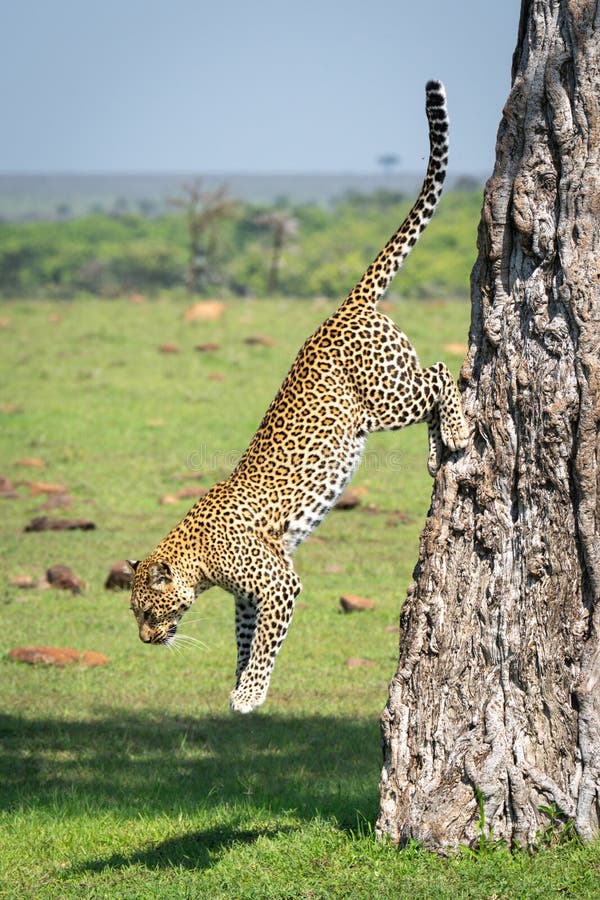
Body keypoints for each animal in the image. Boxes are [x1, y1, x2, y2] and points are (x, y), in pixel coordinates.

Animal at [128, 80, 469, 714]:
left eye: (147, 609)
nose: (144, 640)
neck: (198, 558)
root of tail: (341, 309)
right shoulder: (248, 596)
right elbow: (246, 636)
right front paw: (240, 685)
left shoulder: (279, 582)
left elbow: (267, 641)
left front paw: (249, 694)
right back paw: (441, 448)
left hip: (384, 400)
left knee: (440, 373)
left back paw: (455, 433)